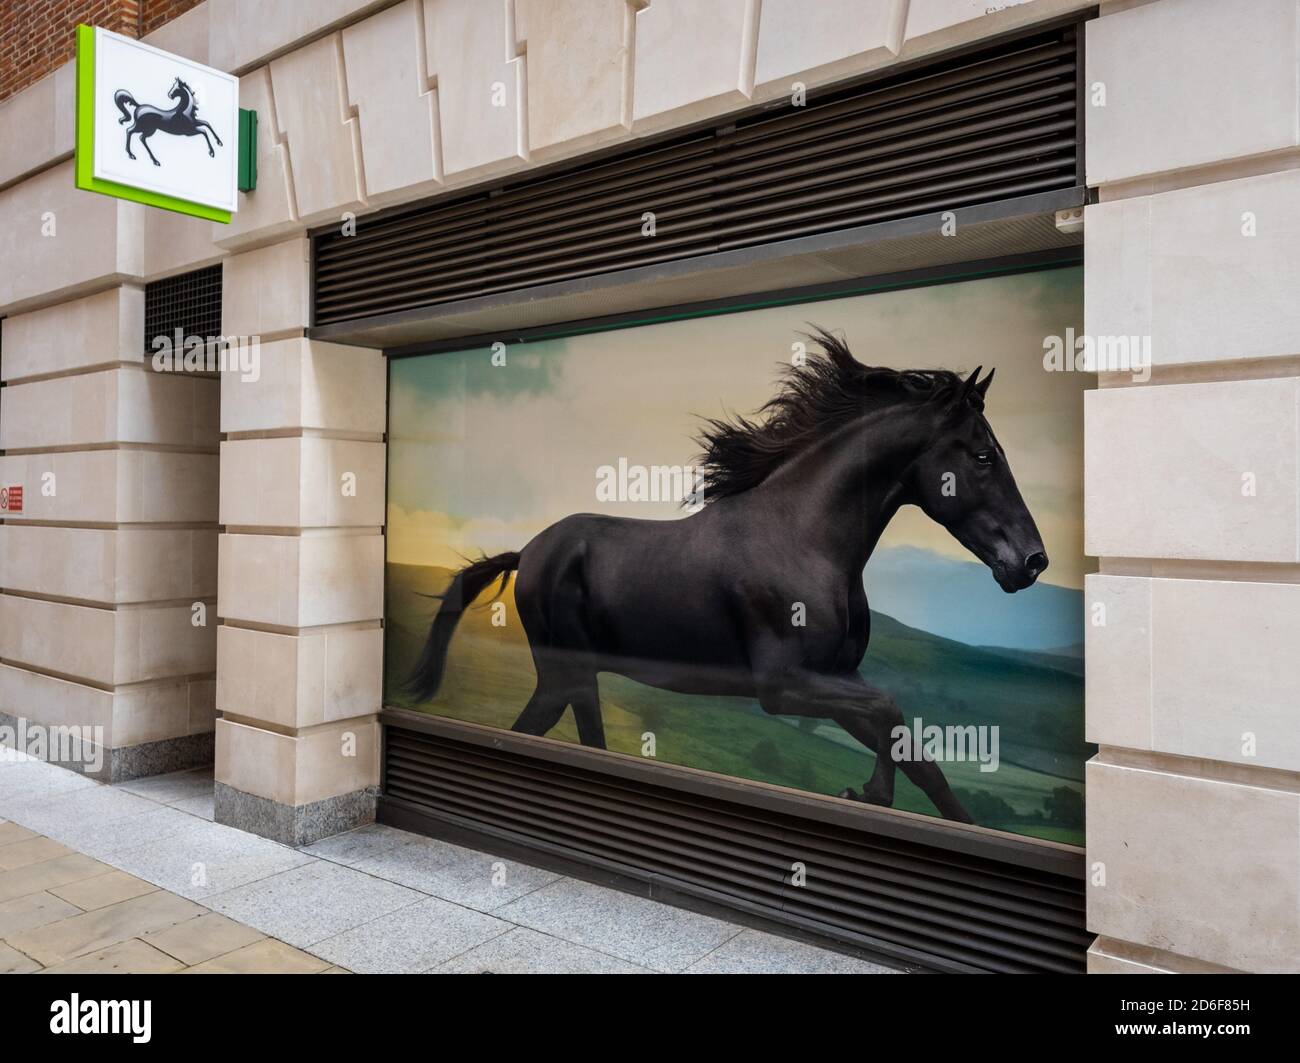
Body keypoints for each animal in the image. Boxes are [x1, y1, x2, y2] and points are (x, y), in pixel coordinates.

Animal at [406, 329, 1049, 824]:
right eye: (983, 455)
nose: (1032, 561)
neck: (802, 536)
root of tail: (530, 551)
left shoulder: (836, 681)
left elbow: (918, 755)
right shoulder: (782, 685)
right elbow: (890, 708)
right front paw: (868, 793)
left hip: (578, 678)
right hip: (564, 674)